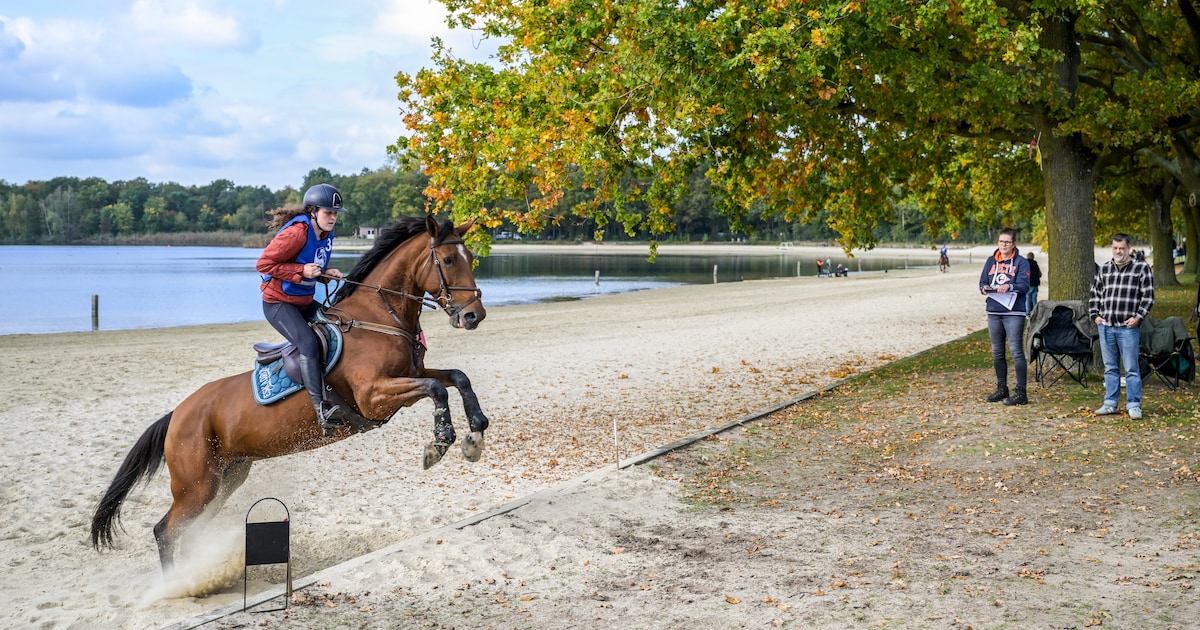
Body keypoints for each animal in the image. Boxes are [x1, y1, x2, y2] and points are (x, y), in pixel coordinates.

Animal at [90, 215, 489, 572]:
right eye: (448, 260)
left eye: (470, 257)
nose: (474, 316)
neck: (380, 318)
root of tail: (176, 415)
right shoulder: (374, 396)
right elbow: (437, 389)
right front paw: (440, 443)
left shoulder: (411, 376)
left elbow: (458, 378)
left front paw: (476, 433)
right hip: (196, 485)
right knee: (166, 530)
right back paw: (178, 584)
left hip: (227, 477)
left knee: (187, 530)